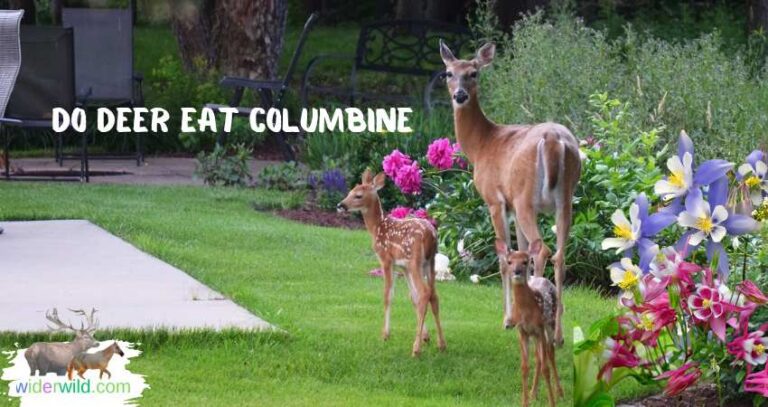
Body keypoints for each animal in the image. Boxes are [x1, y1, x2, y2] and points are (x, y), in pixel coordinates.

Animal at [337, 169, 446, 357]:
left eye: (358, 195)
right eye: (350, 191)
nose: (340, 205)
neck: (378, 228)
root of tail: (431, 235)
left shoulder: (386, 259)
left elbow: (388, 295)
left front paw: (385, 334)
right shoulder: (403, 266)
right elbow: (413, 297)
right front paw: (426, 337)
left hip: (415, 261)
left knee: (425, 292)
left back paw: (415, 349)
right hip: (429, 263)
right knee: (433, 295)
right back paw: (441, 344)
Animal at [440, 40, 581, 346]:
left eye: (473, 73)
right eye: (448, 73)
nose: (459, 95)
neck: (482, 145)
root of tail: (553, 139)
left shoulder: (497, 201)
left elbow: (505, 259)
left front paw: (507, 318)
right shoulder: (514, 210)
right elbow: (521, 250)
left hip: (526, 197)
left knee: (544, 250)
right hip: (565, 200)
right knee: (560, 255)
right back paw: (559, 334)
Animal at [496, 239, 563, 407]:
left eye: (525, 262)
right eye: (509, 261)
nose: (516, 272)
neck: (526, 310)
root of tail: (545, 279)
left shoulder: (539, 328)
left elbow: (546, 368)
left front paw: (552, 403)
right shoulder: (523, 331)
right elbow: (525, 367)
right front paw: (525, 402)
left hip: (550, 323)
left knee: (550, 353)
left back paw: (560, 392)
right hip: (534, 334)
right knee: (538, 357)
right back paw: (533, 394)